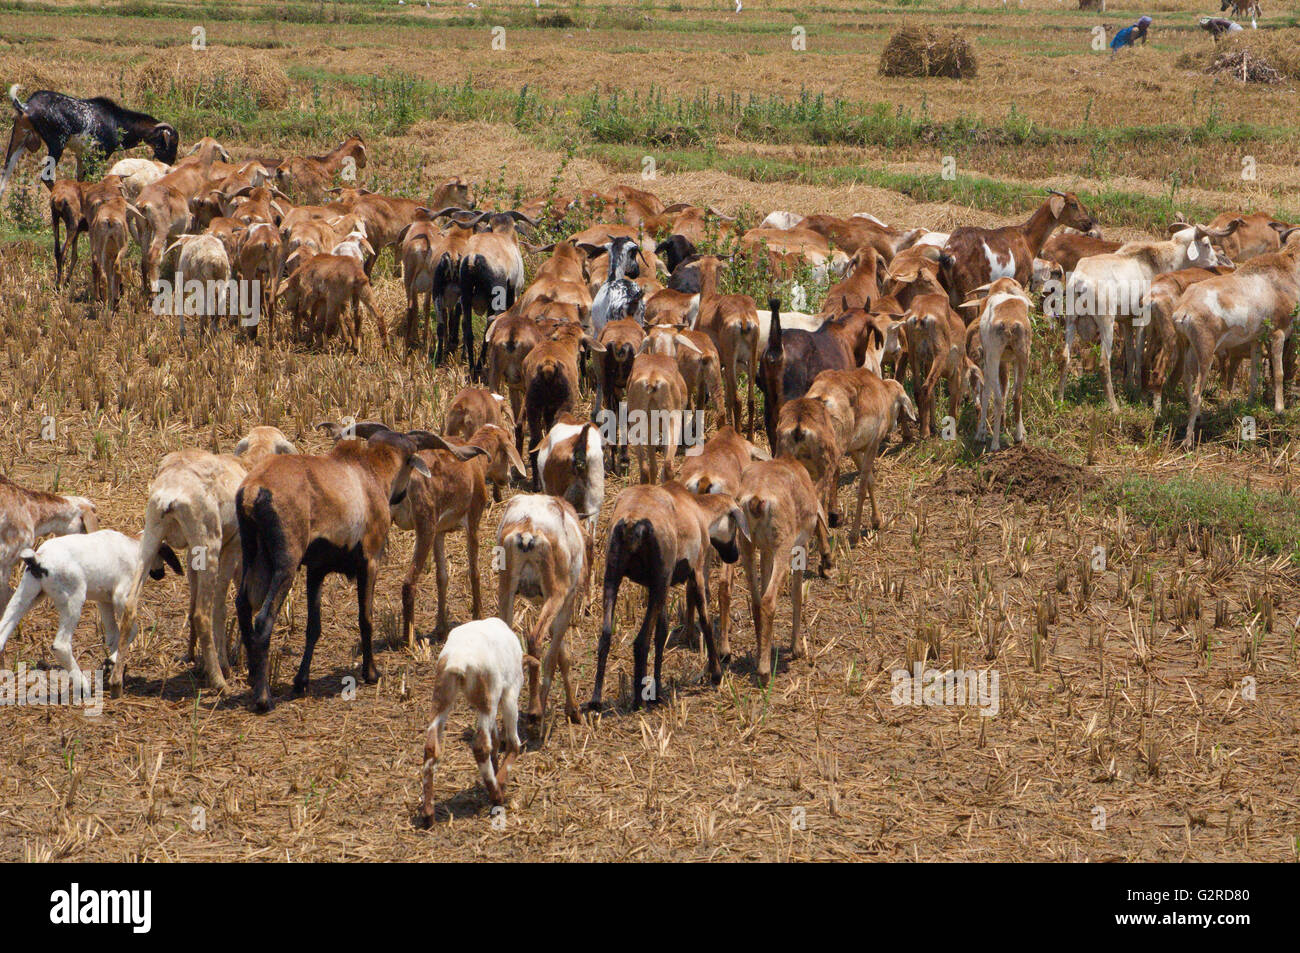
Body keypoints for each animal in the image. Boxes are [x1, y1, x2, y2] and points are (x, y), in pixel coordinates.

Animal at [0, 531, 182, 696]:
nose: (161, 575)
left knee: (3, 631)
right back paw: (83, 685)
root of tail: (38, 558)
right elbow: (131, 630)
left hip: (28, 594)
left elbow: (114, 636)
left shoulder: (104, 601)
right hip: (73, 597)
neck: (134, 545)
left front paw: (112, 668)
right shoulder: (121, 597)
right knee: (61, 645)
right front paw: (111, 662)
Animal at [417, 618, 525, 821]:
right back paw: (497, 796)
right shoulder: (510, 690)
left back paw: (428, 815)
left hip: (443, 696)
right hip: (490, 698)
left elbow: (496, 738)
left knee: (431, 747)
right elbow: (508, 742)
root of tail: (458, 662)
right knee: (490, 745)